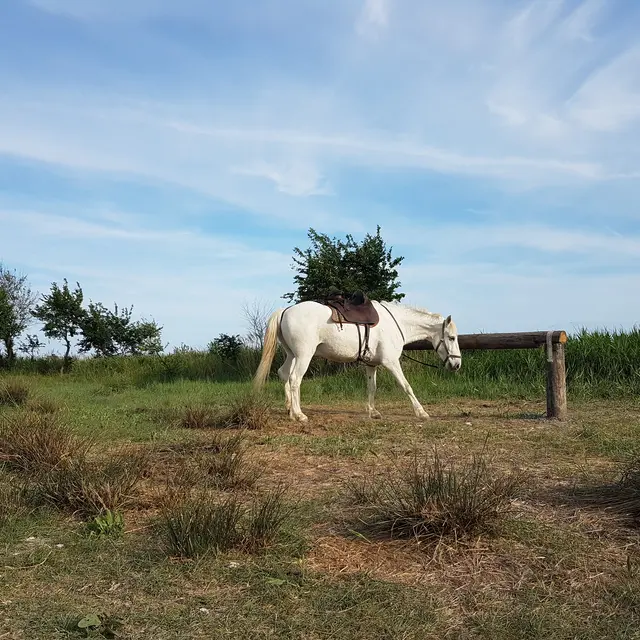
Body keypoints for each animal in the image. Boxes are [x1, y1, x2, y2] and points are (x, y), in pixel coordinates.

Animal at [252, 299, 462, 422]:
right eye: (451, 338)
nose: (456, 364)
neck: (396, 324)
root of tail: (285, 310)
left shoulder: (371, 365)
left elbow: (372, 387)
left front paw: (372, 412)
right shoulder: (391, 363)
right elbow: (406, 386)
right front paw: (421, 412)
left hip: (292, 354)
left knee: (284, 374)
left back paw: (289, 410)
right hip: (304, 355)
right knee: (295, 379)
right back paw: (299, 414)